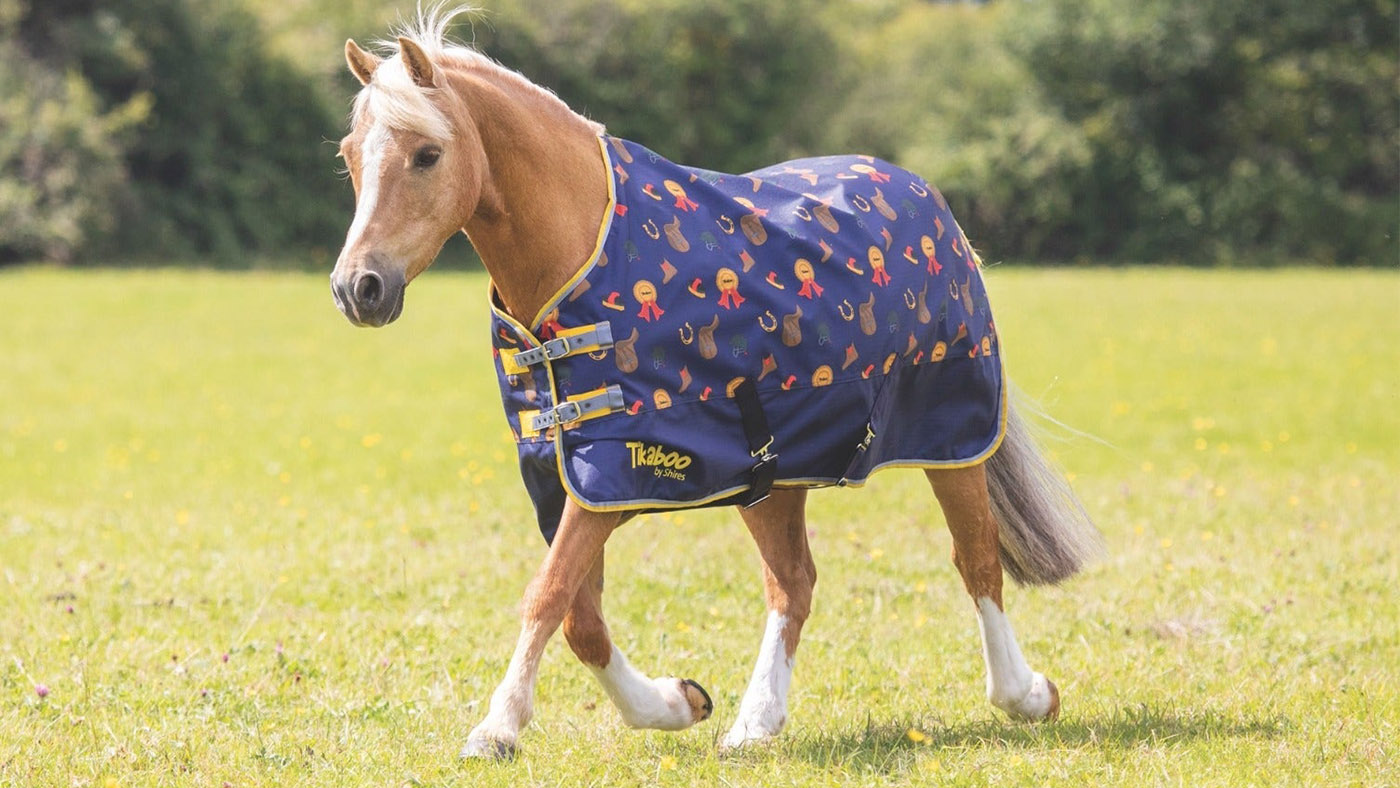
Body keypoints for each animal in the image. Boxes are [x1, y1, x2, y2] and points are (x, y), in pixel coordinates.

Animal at [329, 8, 1100, 760]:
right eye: (349, 156)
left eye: (427, 155)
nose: (357, 288)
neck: (581, 259)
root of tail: (926, 197)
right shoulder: (569, 478)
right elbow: (582, 617)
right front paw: (677, 703)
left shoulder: (614, 470)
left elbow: (548, 595)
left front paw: (497, 729)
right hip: (774, 473)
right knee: (793, 583)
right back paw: (755, 723)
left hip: (954, 436)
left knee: (976, 561)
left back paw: (1027, 695)